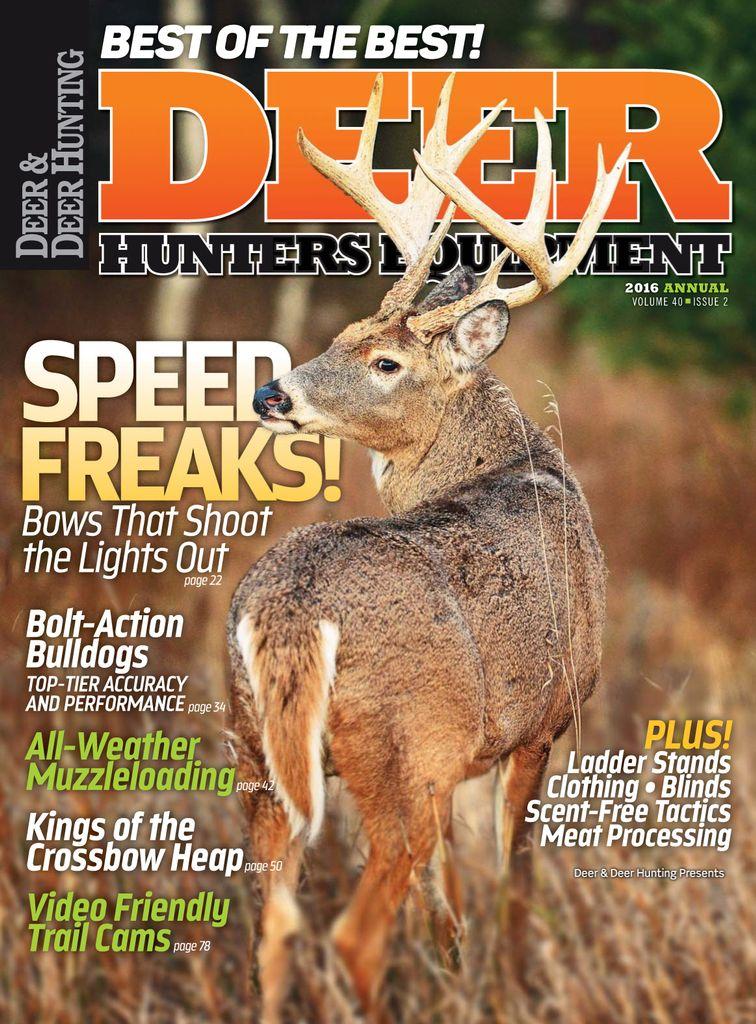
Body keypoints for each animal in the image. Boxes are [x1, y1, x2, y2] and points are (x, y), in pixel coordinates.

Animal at [227, 72, 630, 1023]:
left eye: (381, 359)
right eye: (340, 337)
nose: (269, 392)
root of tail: (290, 617)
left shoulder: (466, 760)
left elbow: (448, 903)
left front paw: (459, 976)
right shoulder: (543, 721)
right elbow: (514, 880)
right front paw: (513, 987)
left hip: (260, 758)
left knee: (271, 928)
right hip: (393, 762)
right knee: (352, 935)